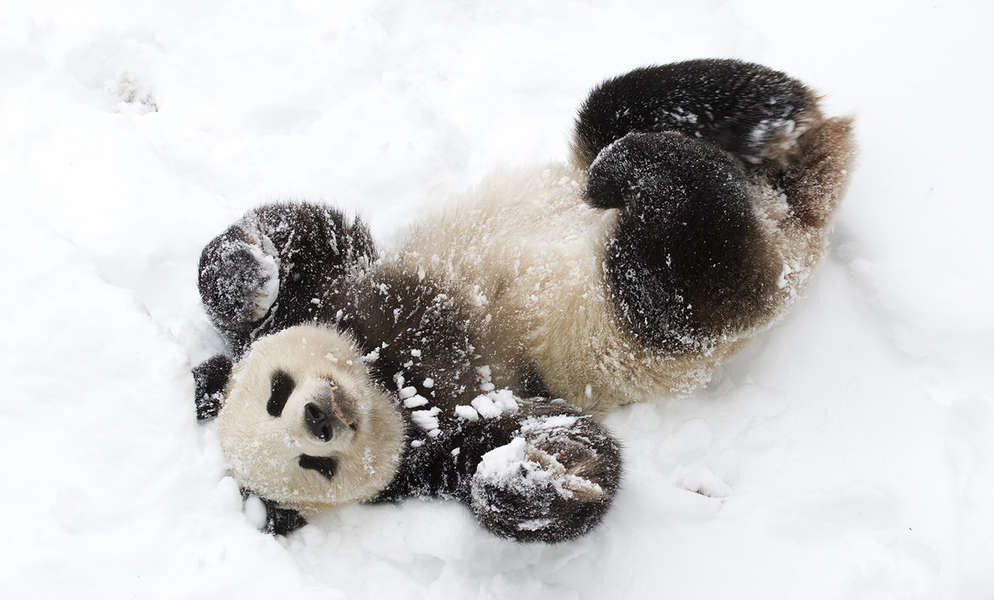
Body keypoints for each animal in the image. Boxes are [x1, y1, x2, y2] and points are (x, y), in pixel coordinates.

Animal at [192, 59, 855, 543]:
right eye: (315, 466)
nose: (320, 418)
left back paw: (754, 123)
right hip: (656, 311)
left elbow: (308, 234)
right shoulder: (441, 439)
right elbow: (563, 446)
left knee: (620, 108)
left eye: (276, 393)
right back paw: (672, 170)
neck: (387, 377)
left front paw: (245, 276)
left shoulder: (339, 292)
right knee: (686, 265)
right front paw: (531, 476)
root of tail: (792, 209)